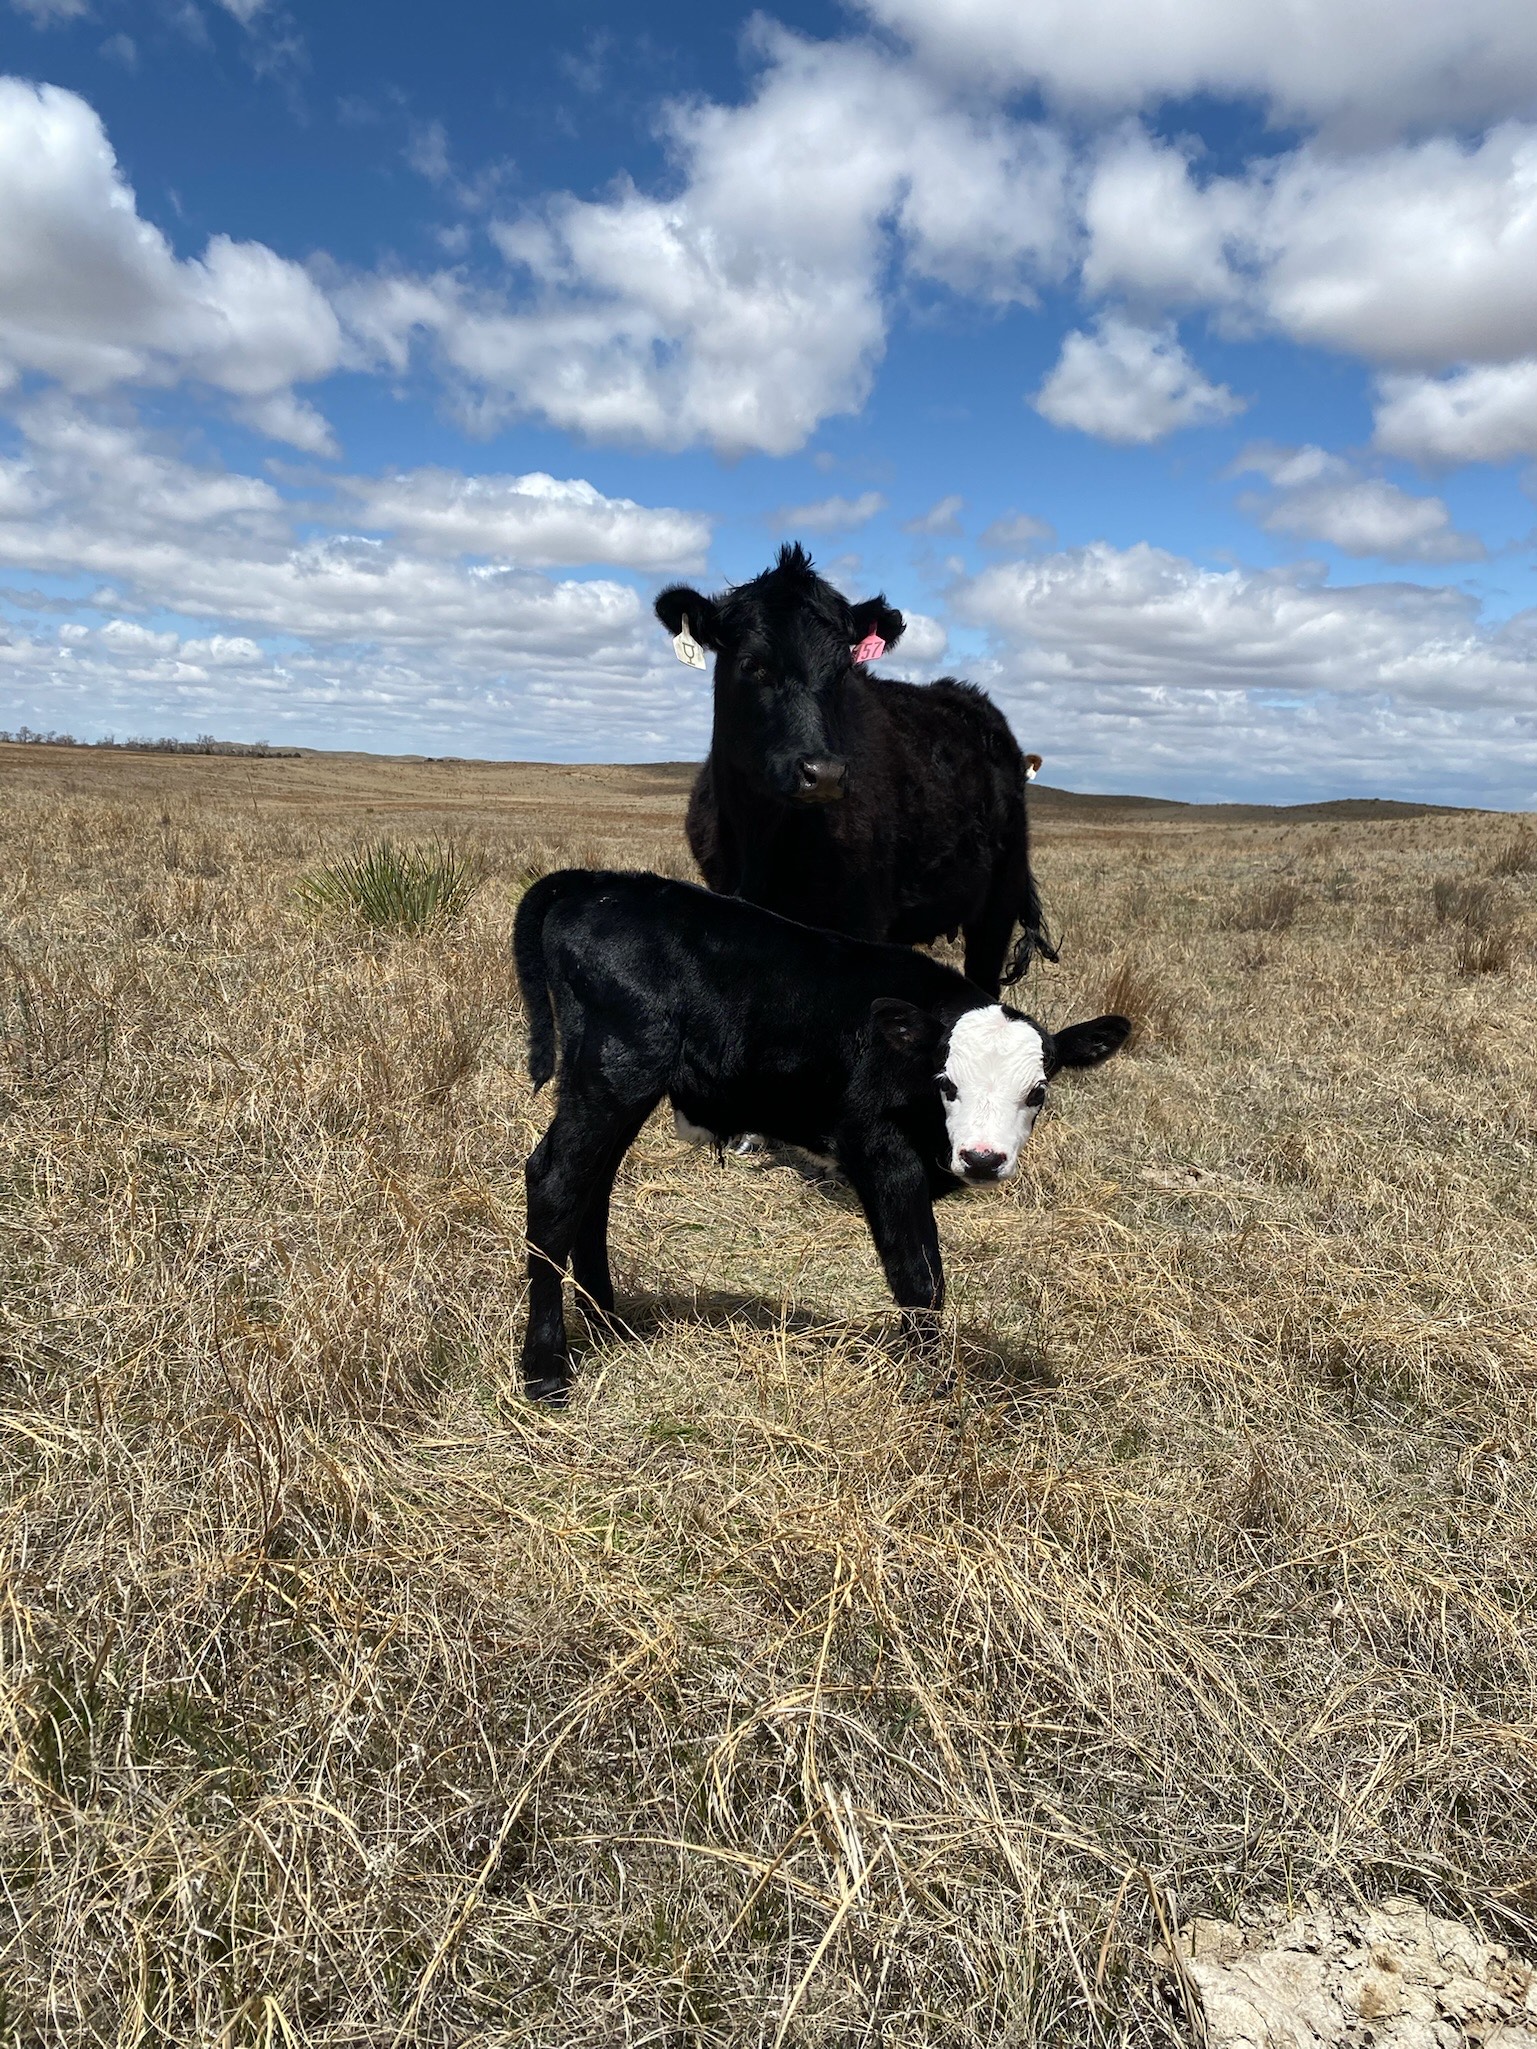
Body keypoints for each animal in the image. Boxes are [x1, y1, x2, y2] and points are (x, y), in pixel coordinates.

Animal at [513, 869, 1128, 1405]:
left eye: (1038, 1092)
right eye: (947, 1083)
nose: (982, 1158)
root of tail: (595, 881)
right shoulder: (881, 1153)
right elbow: (919, 1277)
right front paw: (934, 1390)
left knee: (593, 1187)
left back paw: (606, 1323)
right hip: (617, 1071)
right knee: (556, 1183)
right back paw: (546, 1373)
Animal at [655, 543, 1054, 1000]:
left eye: (843, 668)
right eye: (751, 664)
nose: (823, 772)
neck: (760, 836)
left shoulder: (863, 918)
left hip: (998, 904)